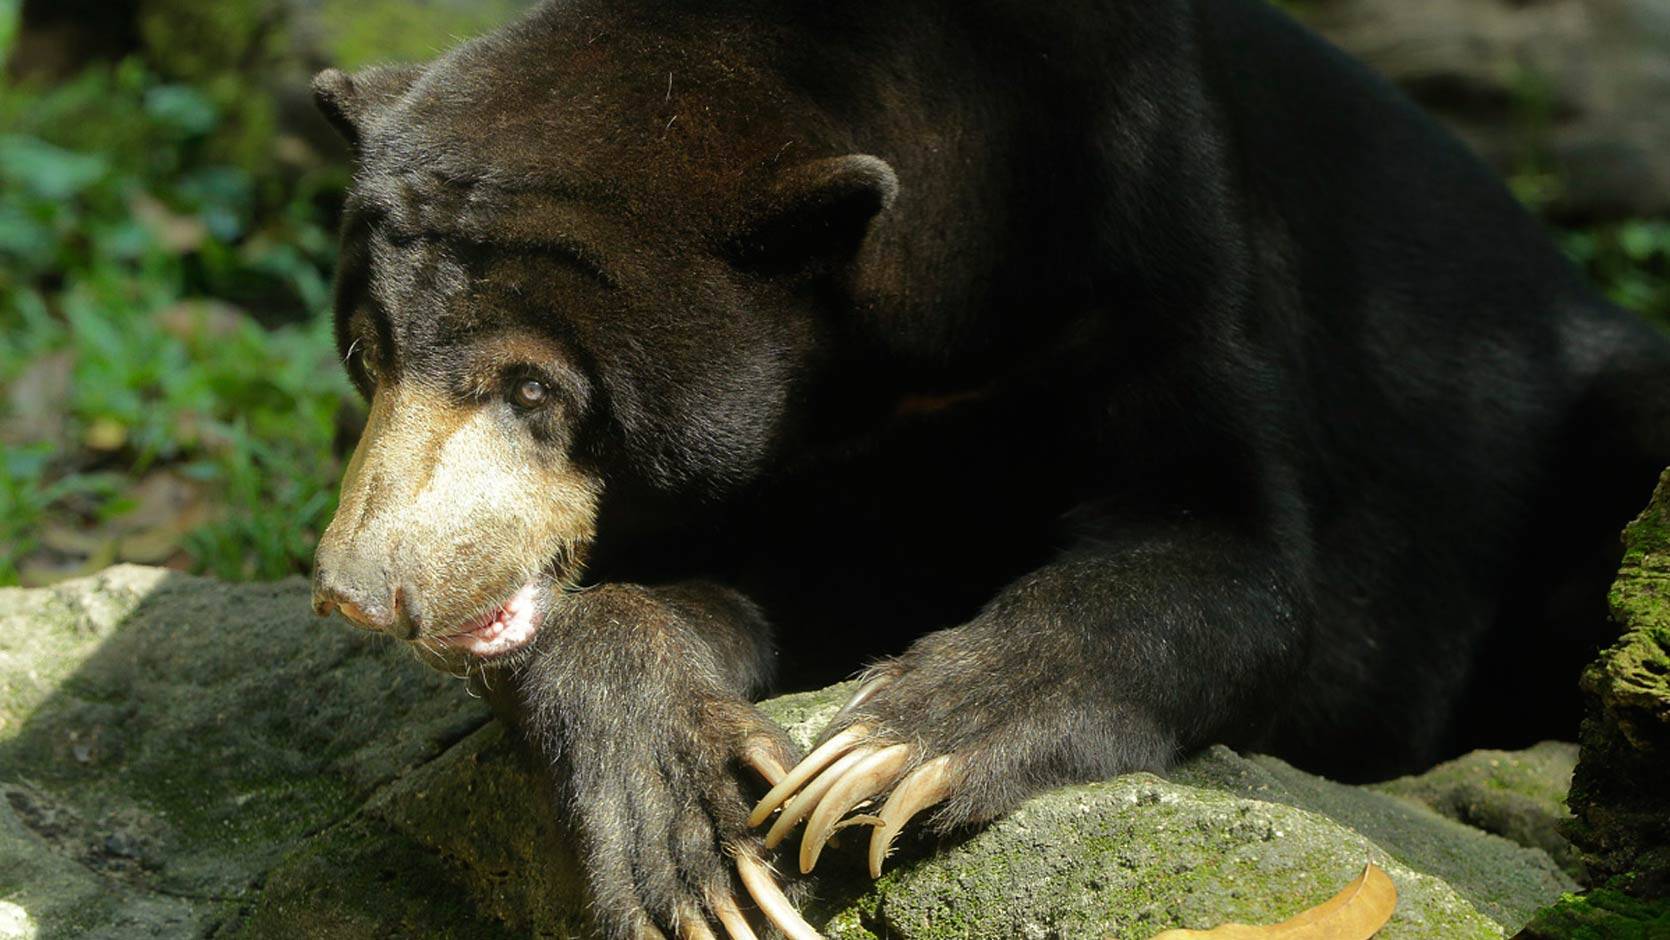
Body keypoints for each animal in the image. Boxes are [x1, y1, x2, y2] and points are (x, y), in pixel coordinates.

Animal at [307, 0, 1670, 936]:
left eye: (533, 391)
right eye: (367, 354)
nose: (360, 590)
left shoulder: (1156, 242)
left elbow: (1230, 552)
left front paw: (885, 755)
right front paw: (692, 844)